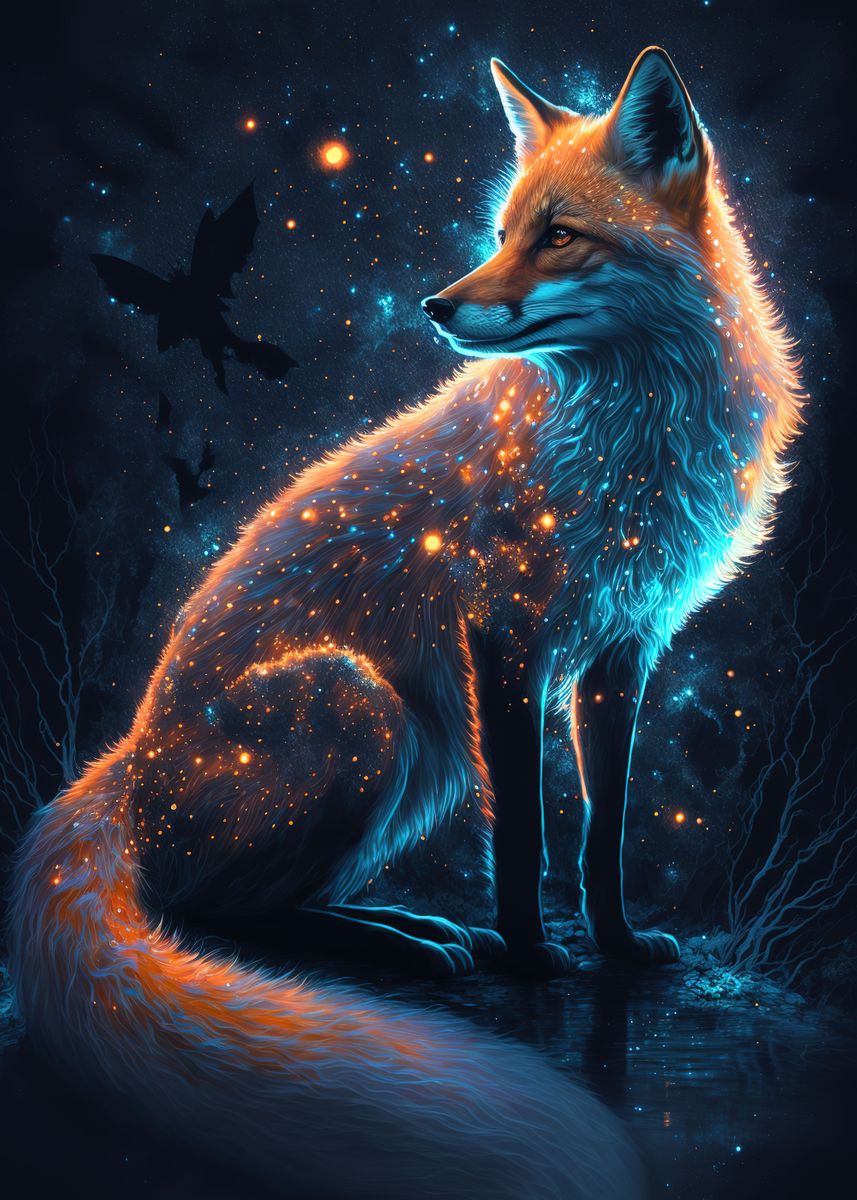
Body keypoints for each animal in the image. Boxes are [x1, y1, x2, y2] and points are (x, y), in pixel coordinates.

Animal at [9, 47, 801, 1200]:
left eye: (558, 234)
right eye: (502, 229)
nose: (435, 306)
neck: (628, 434)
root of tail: (123, 760)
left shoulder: (622, 644)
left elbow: (601, 831)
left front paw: (613, 944)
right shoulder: (505, 632)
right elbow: (523, 834)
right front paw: (529, 952)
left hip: (419, 758)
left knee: (248, 906)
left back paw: (405, 925)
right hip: (364, 706)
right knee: (204, 915)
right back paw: (413, 941)